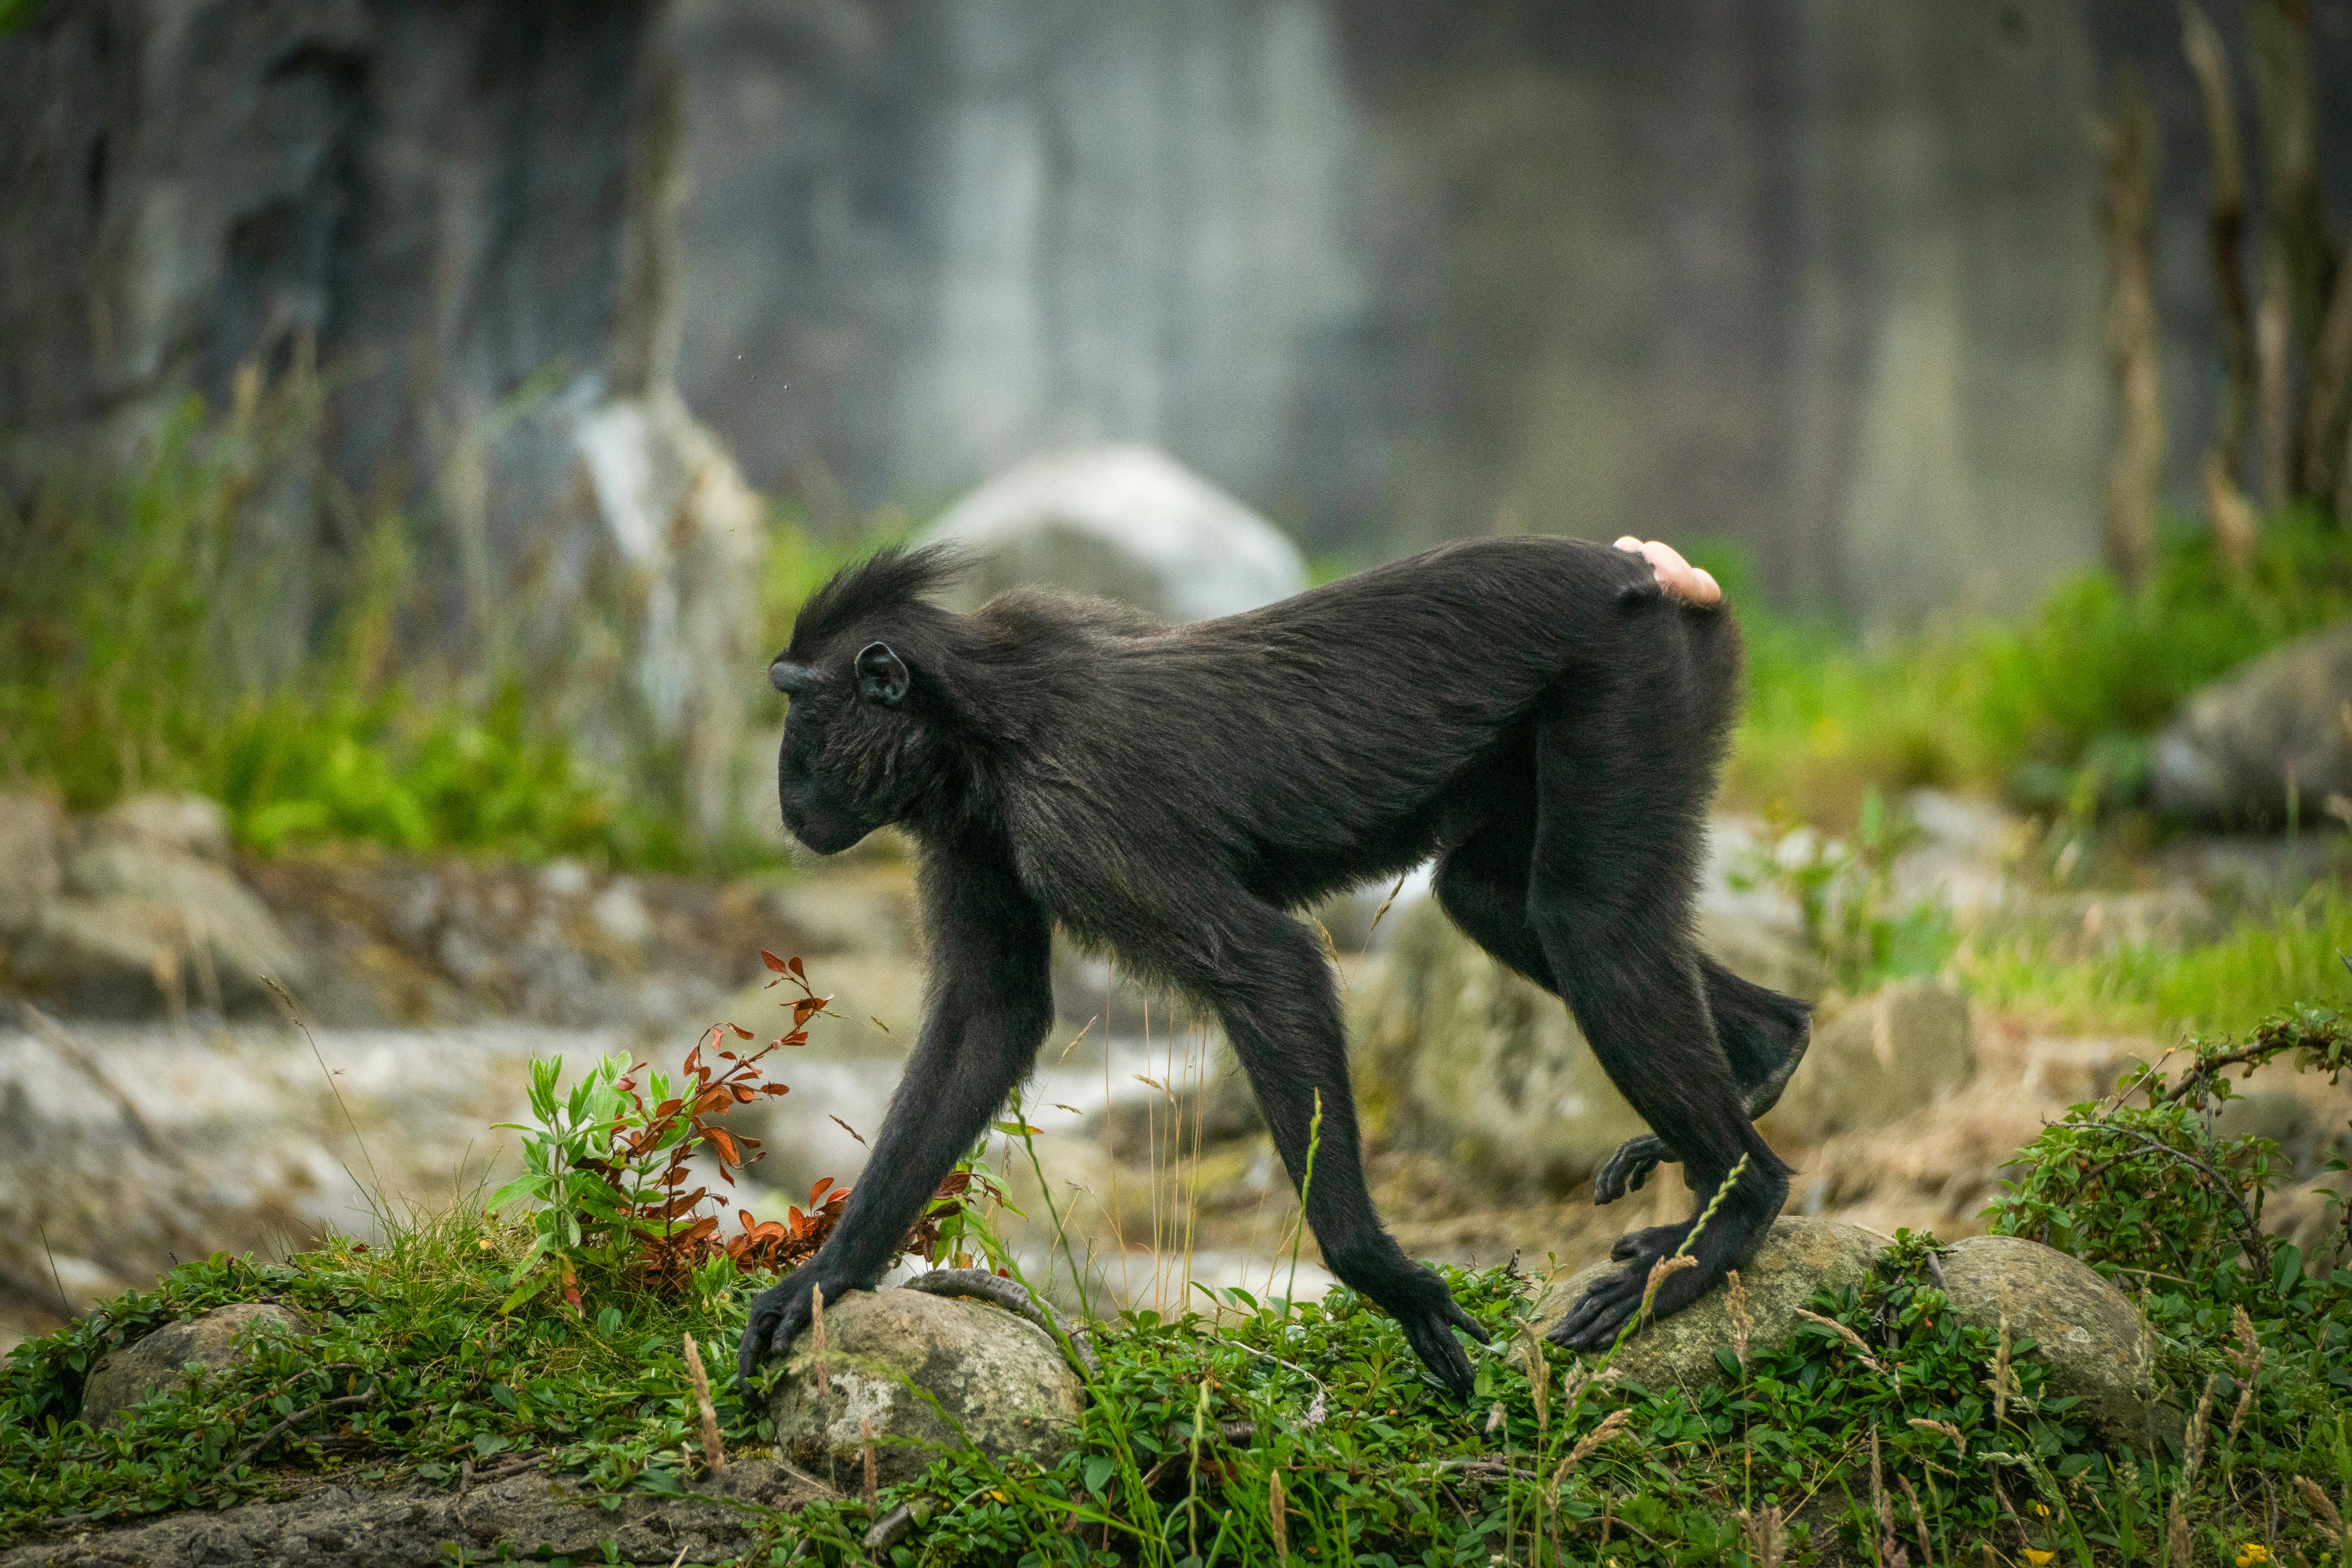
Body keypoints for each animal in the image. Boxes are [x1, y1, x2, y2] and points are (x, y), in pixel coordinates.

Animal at [737, 534, 1809, 1395]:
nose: (784, 792)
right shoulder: (970, 825)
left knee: (1590, 925)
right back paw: (1768, 1054)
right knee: (1501, 901)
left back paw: (1733, 1214)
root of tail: (1650, 578)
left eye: (798, 703)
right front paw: (822, 1281)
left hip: (1633, 684)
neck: (984, 710)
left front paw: (1384, 1275)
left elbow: (1269, 967)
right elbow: (987, 1017)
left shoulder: (1075, 820)